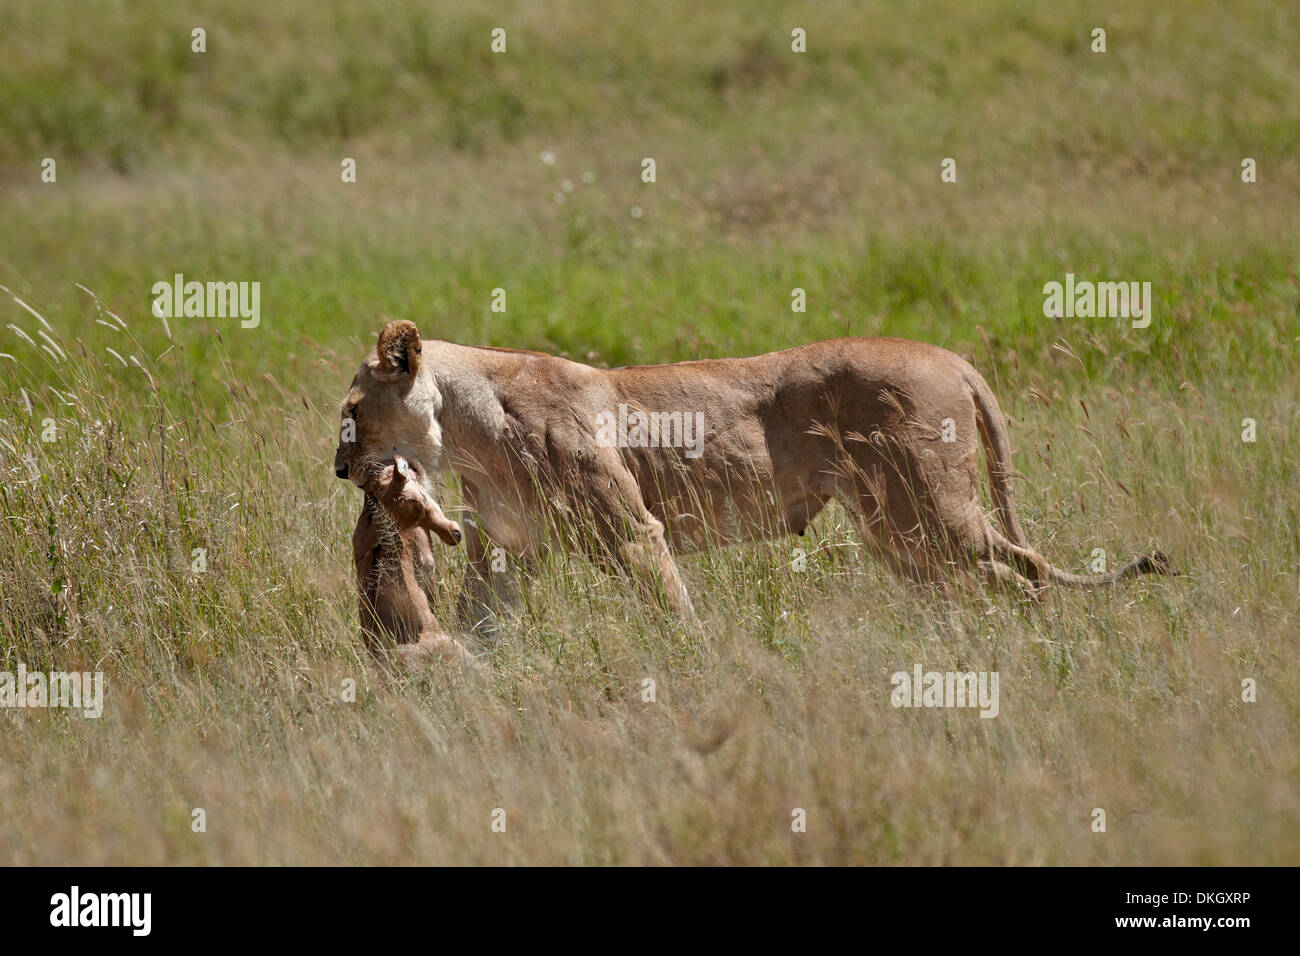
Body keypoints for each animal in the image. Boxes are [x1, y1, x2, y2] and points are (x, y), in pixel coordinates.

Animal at [335, 320, 1171, 627]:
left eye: (350, 412)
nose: (341, 470)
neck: (466, 432)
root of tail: (948, 356)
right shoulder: (508, 552)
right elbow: (481, 623)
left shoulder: (633, 531)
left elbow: (672, 612)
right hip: (898, 534)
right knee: (984, 581)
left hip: (934, 509)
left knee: (1023, 566)